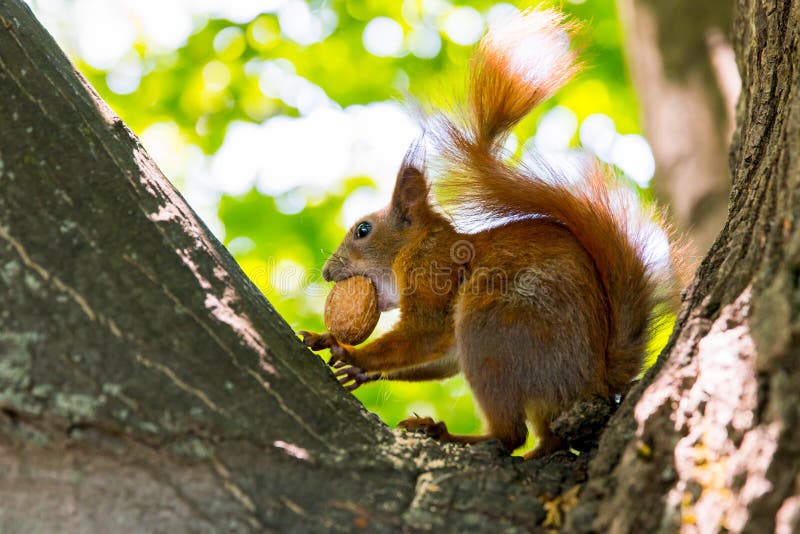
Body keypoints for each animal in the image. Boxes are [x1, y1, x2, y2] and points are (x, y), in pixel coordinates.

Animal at [300, 9, 683, 458]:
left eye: (362, 229)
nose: (328, 272)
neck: (419, 246)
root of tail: (595, 382)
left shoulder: (434, 275)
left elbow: (422, 335)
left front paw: (350, 353)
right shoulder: (447, 338)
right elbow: (439, 356)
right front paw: (327, 339)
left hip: (492, 331)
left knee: (511, 435)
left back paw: (451, 434)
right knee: (548, 438)